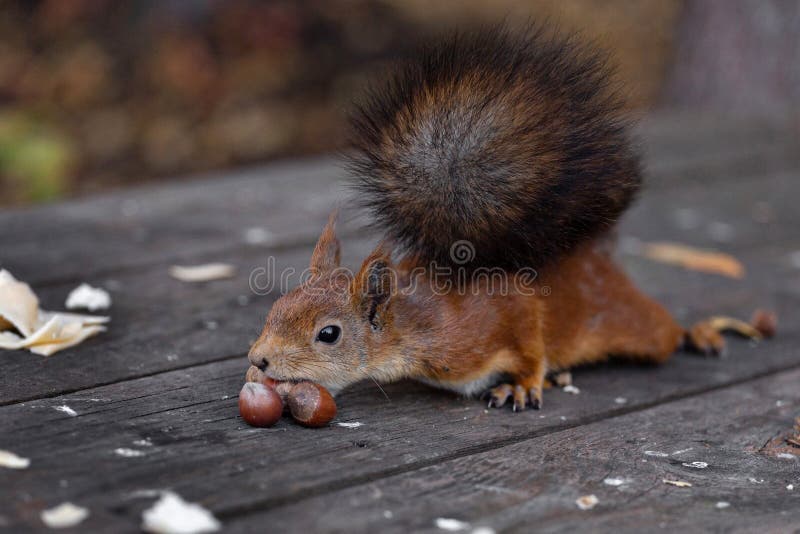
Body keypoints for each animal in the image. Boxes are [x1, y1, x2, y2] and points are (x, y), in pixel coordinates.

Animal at [247, 26, 734, 411]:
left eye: (328, 334)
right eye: (277, 307)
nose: (258, 359)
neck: (413, 326)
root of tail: (594, 247)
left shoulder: (501, 314)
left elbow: (531, 343)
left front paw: (524, 384)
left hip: (625, 319)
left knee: (662, 331)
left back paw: (700, 333)